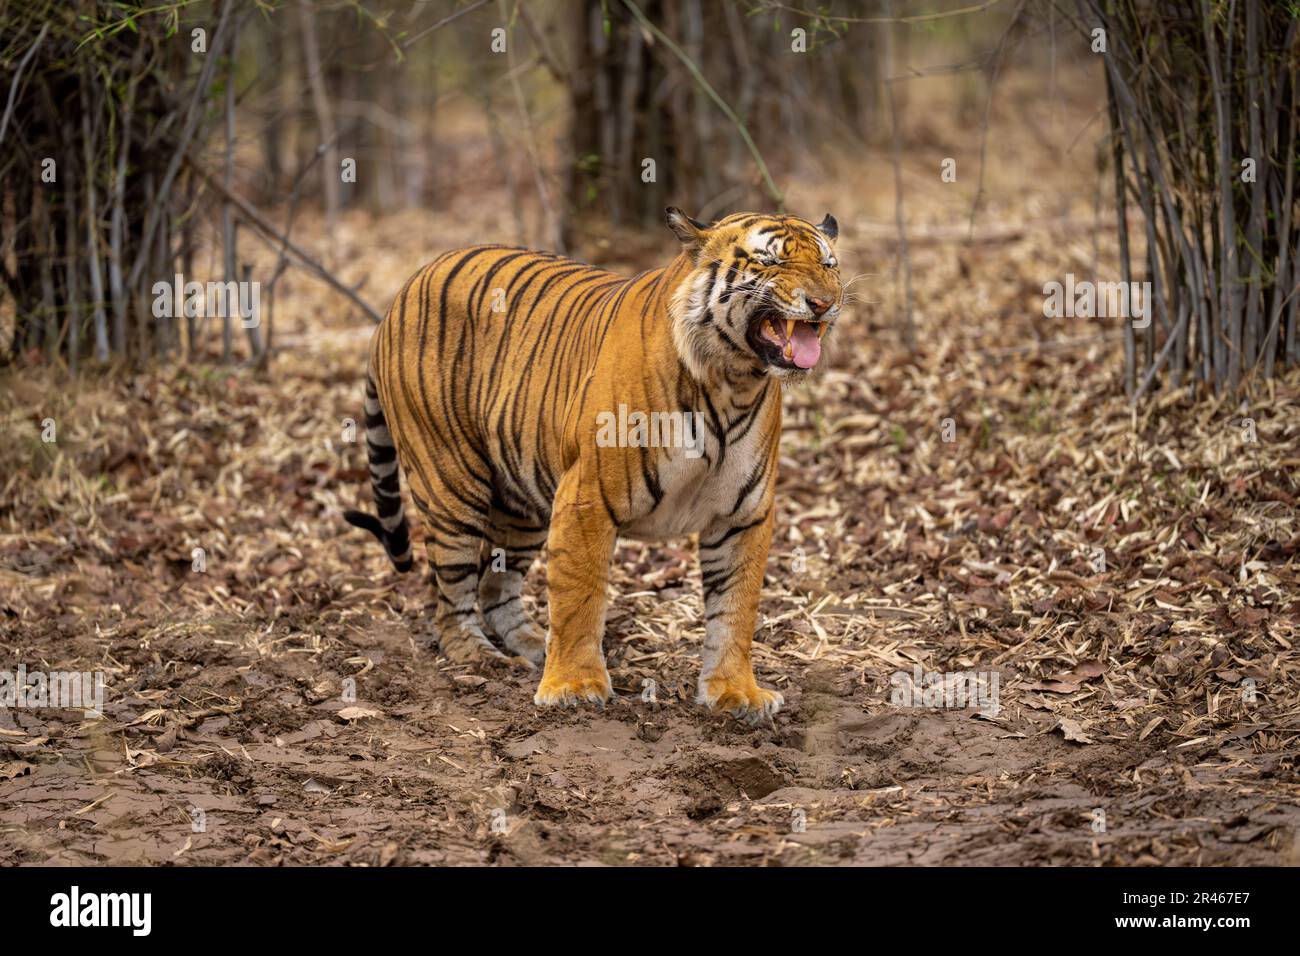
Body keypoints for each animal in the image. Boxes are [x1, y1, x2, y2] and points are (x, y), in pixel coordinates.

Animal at [344, 207, 843, 722]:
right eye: (770, 261)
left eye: (829, 264)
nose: (824, 302)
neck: (732, 383)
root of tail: (405, 289)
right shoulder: (587, 498)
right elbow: (578, 596)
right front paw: (574, 685)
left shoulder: (743, 514)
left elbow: (735, 609)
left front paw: (735, 691)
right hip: (452, 485)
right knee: (451, 595)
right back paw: (481, 657)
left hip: (521, 499)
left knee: (495, 585)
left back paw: (532, 644)